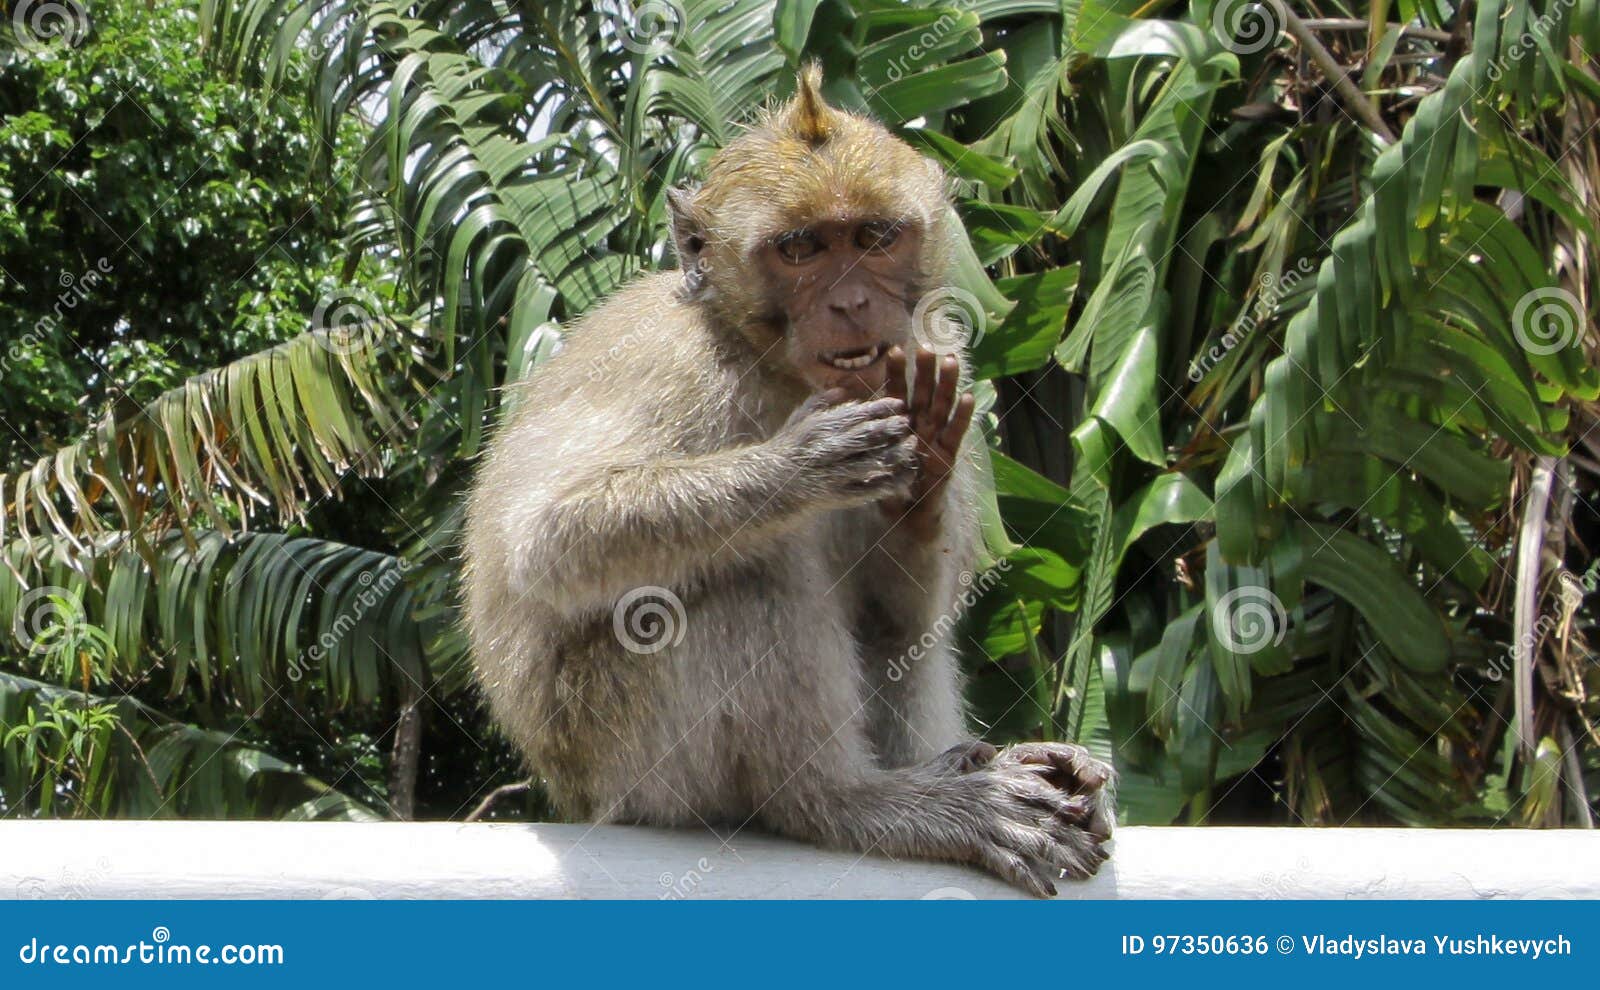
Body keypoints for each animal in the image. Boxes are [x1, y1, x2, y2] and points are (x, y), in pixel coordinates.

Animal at [462, 67, 1113, 897]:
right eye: (800, 249)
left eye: (874, 238)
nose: (851, 302)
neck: (766, 360)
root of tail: (573, 797)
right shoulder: (671, 363)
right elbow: (544, 538)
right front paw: (798, 467)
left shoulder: (941, 354)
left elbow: (901, 612)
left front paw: (919, 493)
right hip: (624, 762)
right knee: (745, 583)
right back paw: (844, 800)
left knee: (890, 631)